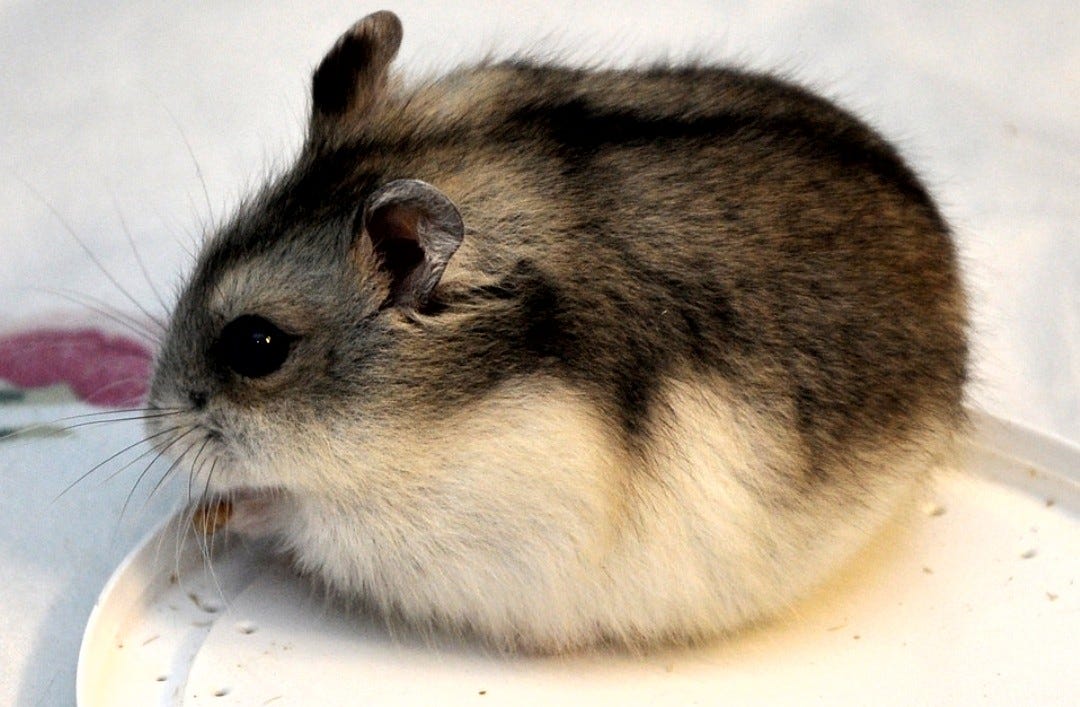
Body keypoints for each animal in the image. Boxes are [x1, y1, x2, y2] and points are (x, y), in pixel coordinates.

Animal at [147, 10, 967, 652]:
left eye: (256, 347)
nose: (156, 429)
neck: (407, 422)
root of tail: (951, 278)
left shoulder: (416, 527)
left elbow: (292, 508)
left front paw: (217, 512)